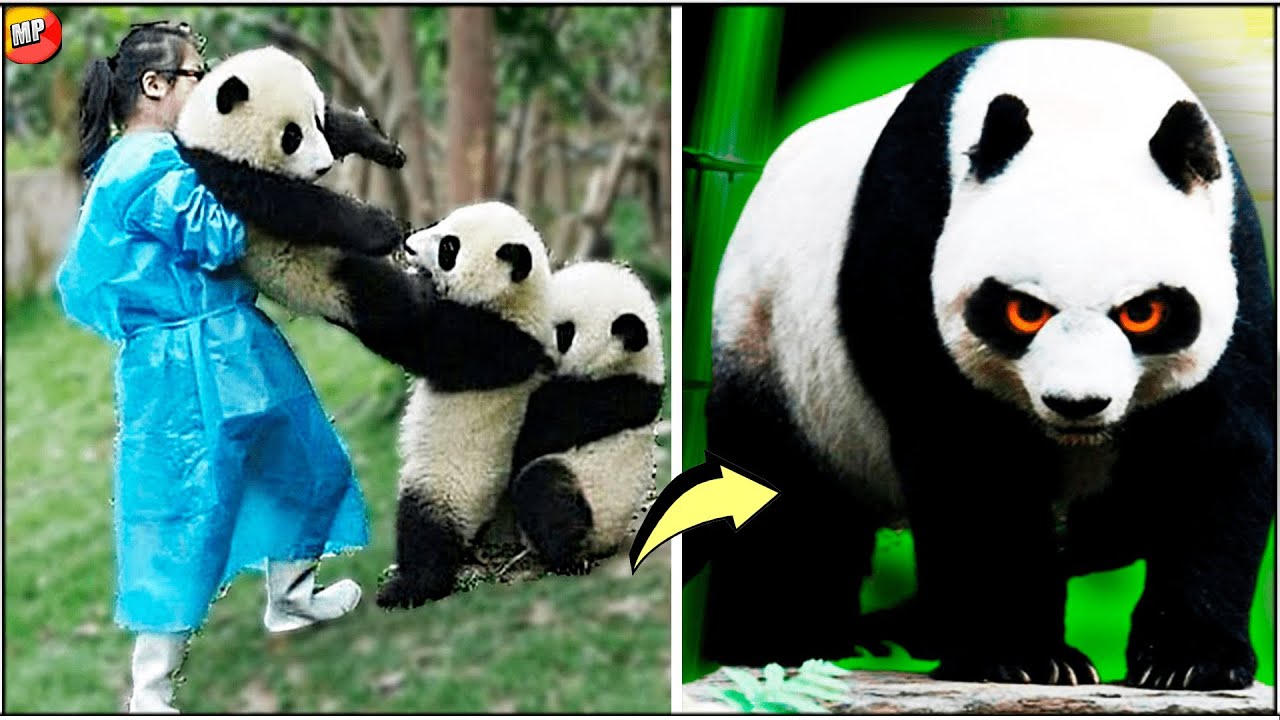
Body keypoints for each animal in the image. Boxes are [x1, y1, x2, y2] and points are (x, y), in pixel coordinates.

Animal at [173, 46, 434, 370]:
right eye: (292, 136)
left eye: (317, 121)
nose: (325, 166)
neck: (204, 131)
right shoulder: (225, 174)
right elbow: (299, 209)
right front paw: (384, 227)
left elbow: (339, 131)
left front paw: (384, 147)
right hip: (320, 278)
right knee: (384, 298)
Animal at [376, 201, 556, 609]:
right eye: (440, 222)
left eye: (449, 248)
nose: (408, 245)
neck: (516, 302)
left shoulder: (492, 346)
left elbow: (411, 330)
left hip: (450, 486)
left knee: (426, 533)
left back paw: (407, 586)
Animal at [509, 261, 666, 574]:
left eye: (564, 332)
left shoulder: (607, 396)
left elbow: (534, 436)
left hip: (595, 500)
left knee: (546, 490)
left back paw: (568, 558)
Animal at [694, 37, 1275, 691]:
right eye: (1024, 311)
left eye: (1144, 312)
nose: (1078, 404)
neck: (1082, 103)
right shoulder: (912, 241)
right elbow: (969, 457)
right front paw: (1023, 656)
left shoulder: (1235, 257)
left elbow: (1215, 453)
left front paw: (1190, 658)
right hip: (773, 345)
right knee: (783, 503)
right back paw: (782, 637)